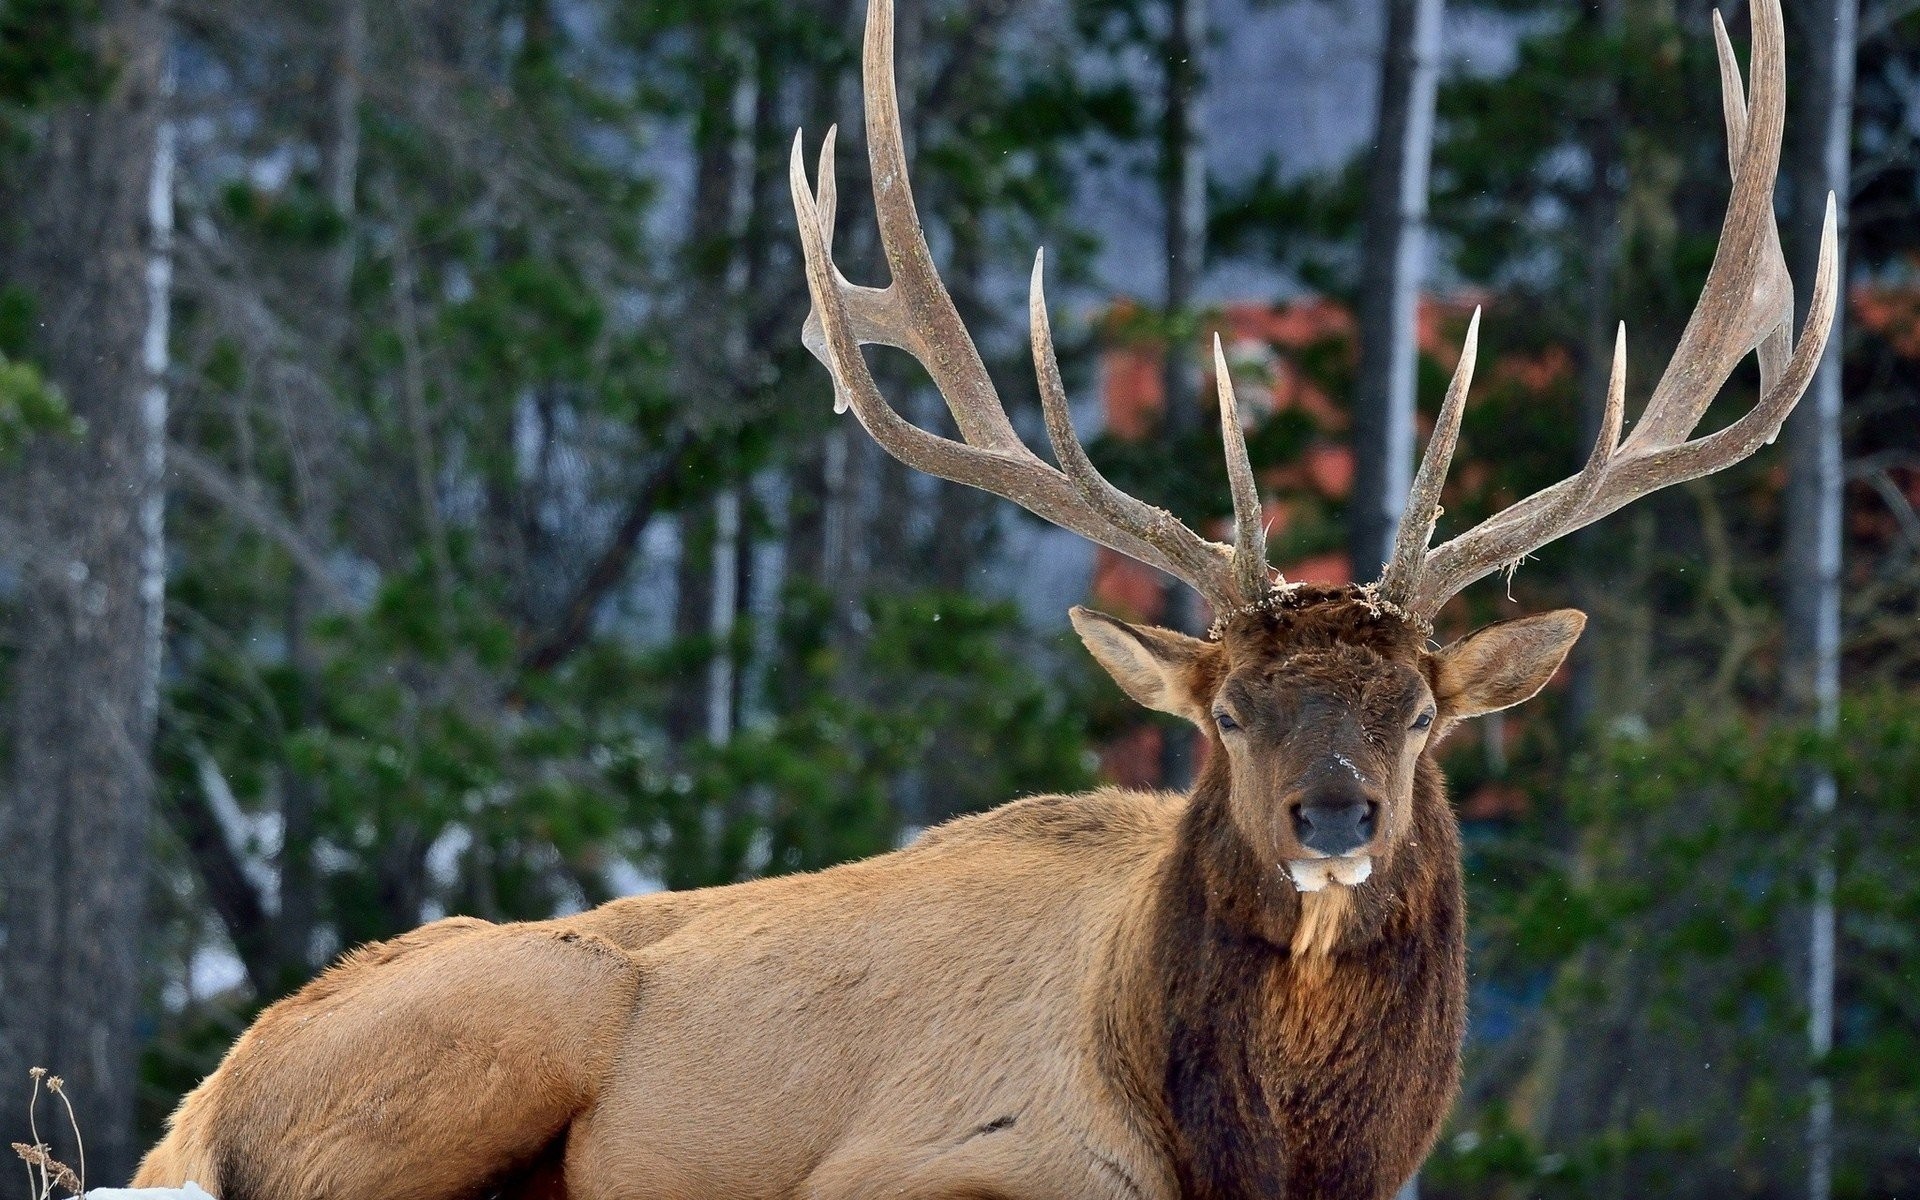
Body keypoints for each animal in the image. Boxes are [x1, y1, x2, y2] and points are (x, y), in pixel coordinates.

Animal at [133, 1, 1834, 1196]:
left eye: (1420, 713)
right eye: (1226, 714)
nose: (1336, 813)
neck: (1263, 1157)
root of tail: (195, 1110)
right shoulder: (925, 1163)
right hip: (503, 1029)